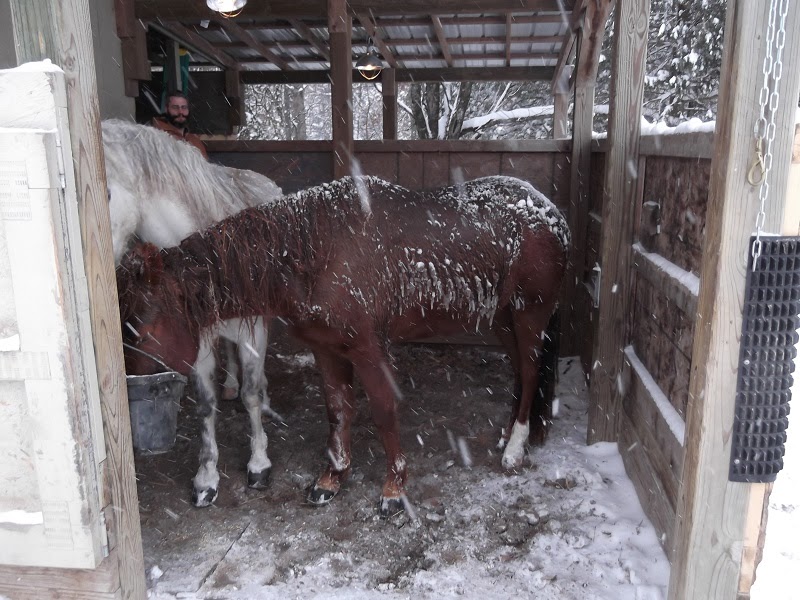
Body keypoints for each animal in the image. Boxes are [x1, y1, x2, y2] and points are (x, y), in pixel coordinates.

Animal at [102, 119, 284, 505]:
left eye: (106, 193)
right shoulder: (199, 340)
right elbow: (205, 404)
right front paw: (206, 478)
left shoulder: (253, 331)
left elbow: (251, 396)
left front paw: (259, 463)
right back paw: (231, 383)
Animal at [116, 175, 570, 514]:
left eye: (140, 326)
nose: (127, 394)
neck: (316, 249)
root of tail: (551, 212)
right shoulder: (327, 348)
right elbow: (337, 411)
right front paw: (332, 479)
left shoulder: (369, 350)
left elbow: (384, 412)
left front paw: (393, 488)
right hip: (503, 319)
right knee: (520, 372)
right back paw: (510, 435)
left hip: (529, 316)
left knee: (531, 372)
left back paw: (515, 449)